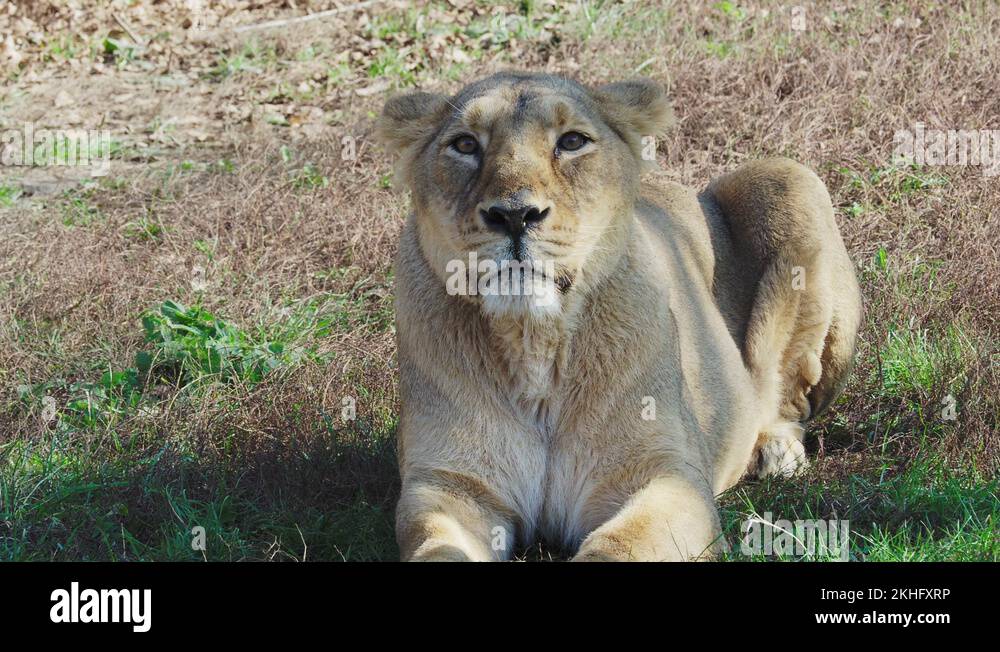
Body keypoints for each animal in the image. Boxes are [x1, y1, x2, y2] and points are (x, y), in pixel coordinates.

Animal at [376, 72, 861, 561]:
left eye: (572, 141)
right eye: (465, 144)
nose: (514, 215)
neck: (535, 344)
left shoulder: (666, 475)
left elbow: (618, 546)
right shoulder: (449, 488)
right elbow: (436, 547)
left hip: (786, 177)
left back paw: (775, 451)